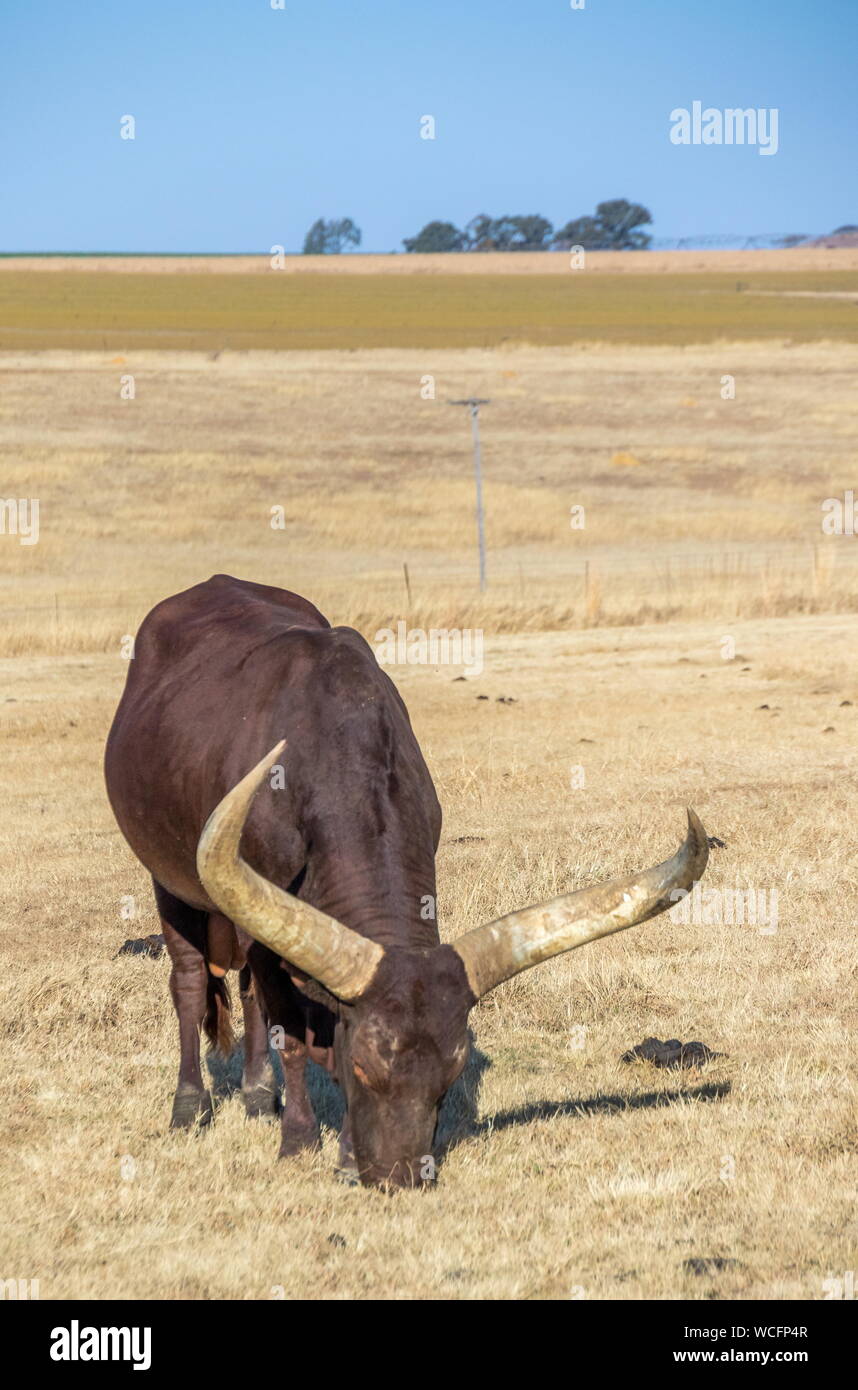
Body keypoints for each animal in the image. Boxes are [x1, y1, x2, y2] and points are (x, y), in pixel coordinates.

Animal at [105, 574, 709, 1189]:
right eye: (365, 1065)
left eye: (450, 1074)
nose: (400, 1177)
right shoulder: (269, 936)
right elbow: (289, 1036)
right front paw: (298, 1139)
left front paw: (342, 1150)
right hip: (169, 882)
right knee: (189, 984)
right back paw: (190, 1108)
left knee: (246, 990)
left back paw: (256, 1095)